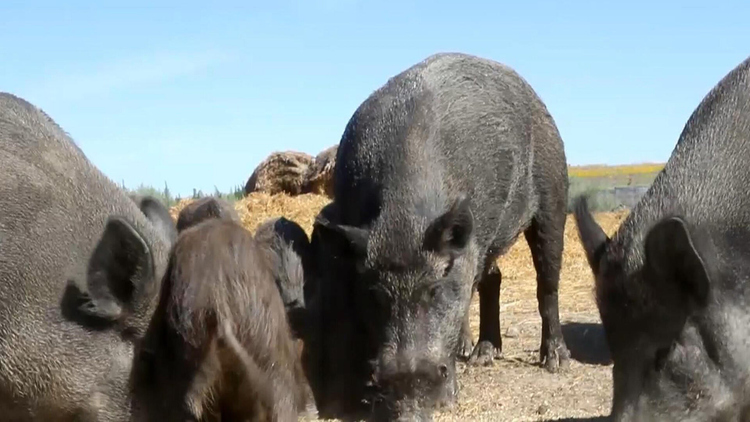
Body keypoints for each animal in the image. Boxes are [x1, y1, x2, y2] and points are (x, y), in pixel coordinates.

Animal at [308, 52, 571, 420]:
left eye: (434, 290)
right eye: (376, 296)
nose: (409, 391)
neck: (404, 220)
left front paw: (447, 399)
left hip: (553, 192)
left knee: (547, 280)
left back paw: (555, 362)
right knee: (492, 279)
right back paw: (480, 356)